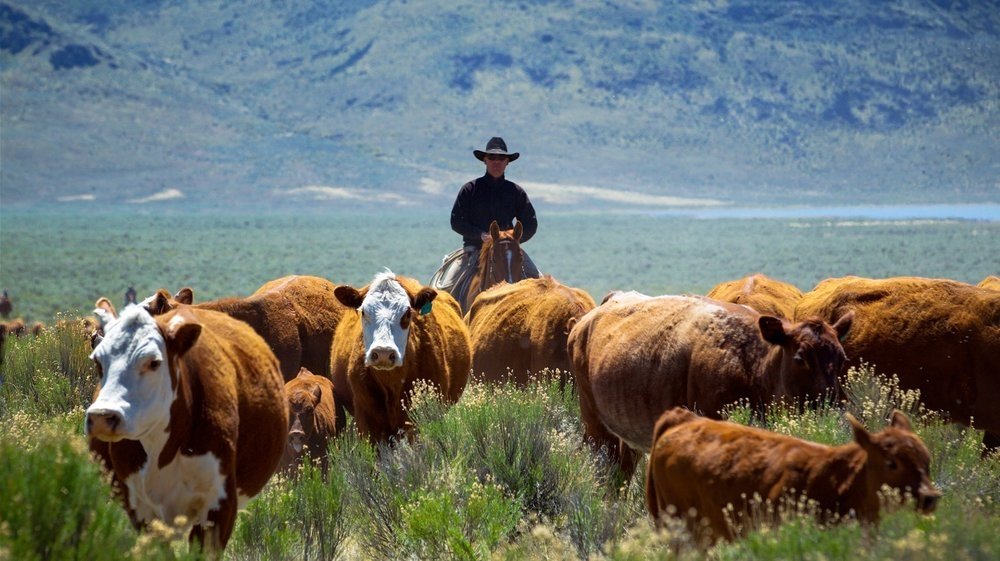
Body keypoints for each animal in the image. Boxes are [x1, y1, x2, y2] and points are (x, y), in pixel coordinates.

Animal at [85, 305, 287, 554]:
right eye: (98, 362)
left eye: (153, 362)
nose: (102, 416)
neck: (163, 452)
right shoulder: (141, 510)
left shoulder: (219, 506)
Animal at [568, 293, 853, 479]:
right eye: (800, 358)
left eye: (842, 358)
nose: (829, 403)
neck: (753, 361)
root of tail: (585, 322)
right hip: (594, 423)